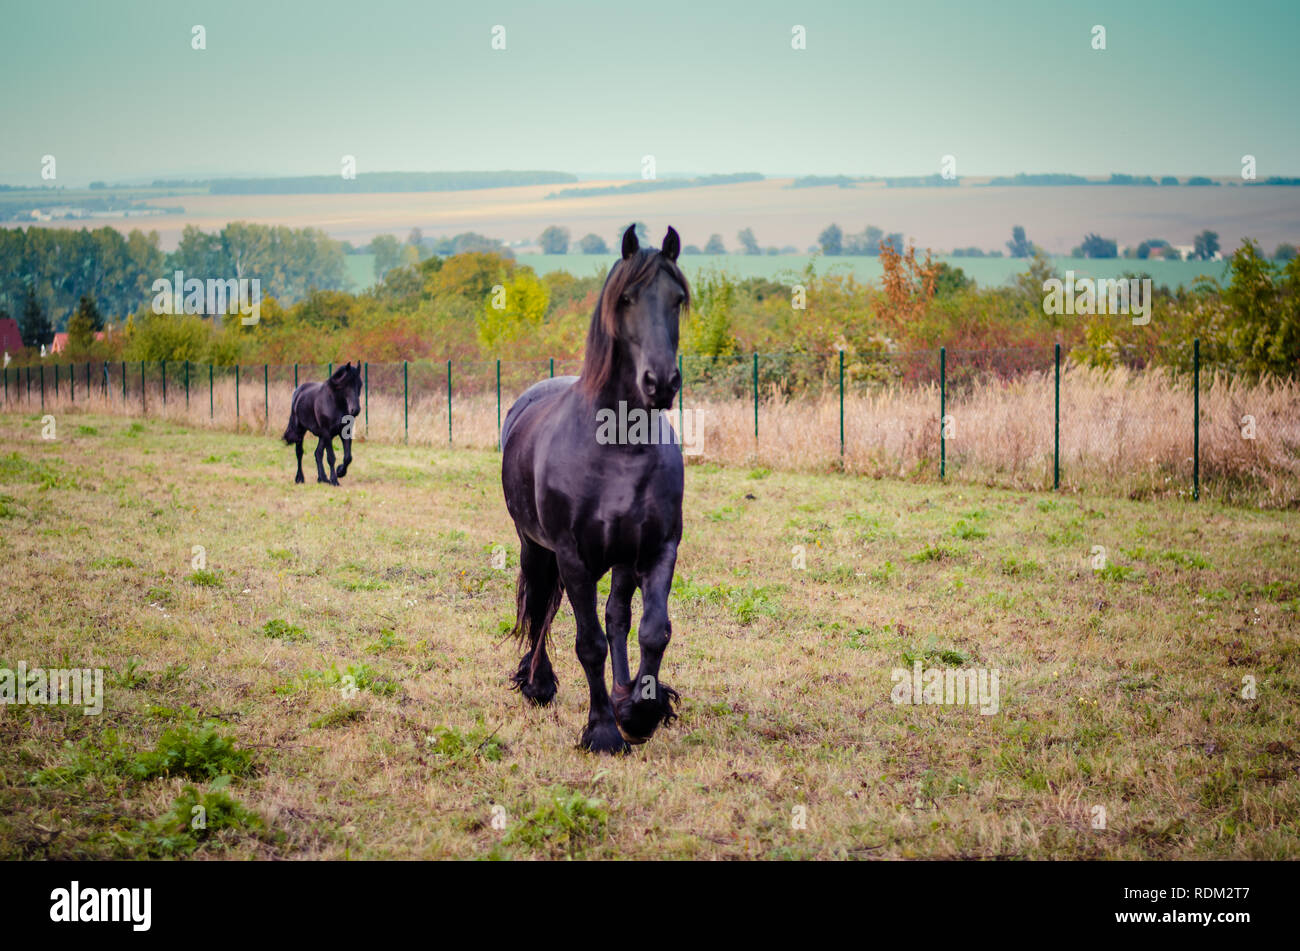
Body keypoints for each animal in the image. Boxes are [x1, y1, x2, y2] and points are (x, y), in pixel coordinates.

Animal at [500, 225, 689, 754]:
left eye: (678, 299)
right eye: (625, 299)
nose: (661, 382)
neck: (618, 449)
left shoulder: (659, 549)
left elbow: (651, 631)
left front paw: (640, 712)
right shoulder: (571, 555)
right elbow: (588, 644)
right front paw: (603, 730)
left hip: (622, 560)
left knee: (616, 616)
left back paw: (626, 692)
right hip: (536, 548)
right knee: (541, 605)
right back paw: (539, 682)